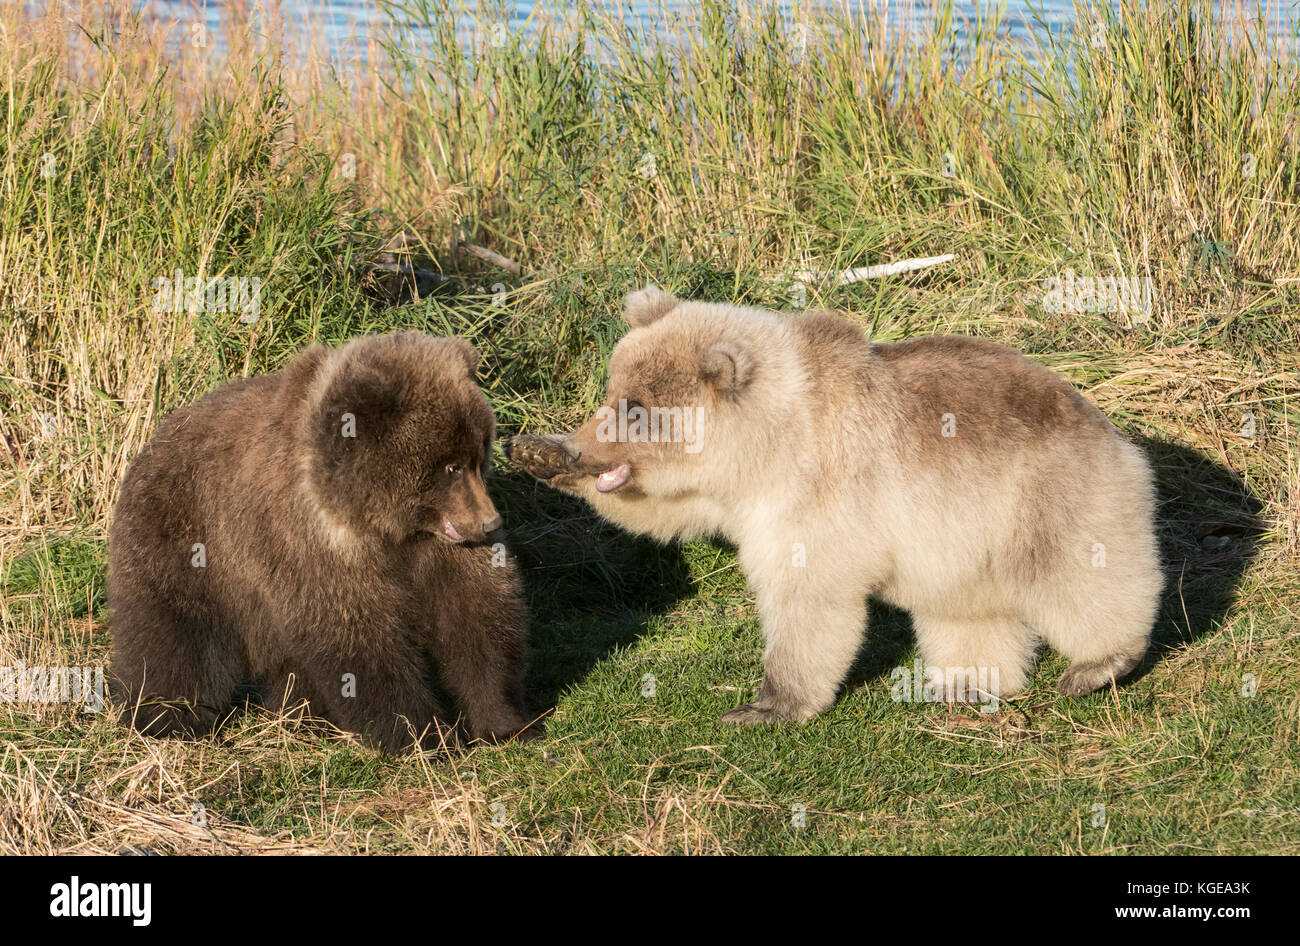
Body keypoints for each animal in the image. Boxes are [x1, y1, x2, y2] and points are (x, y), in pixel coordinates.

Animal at [109, 331, 536, 751]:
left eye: (480, 455)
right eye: (451, 466)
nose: (490, 523)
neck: (376, 520)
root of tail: (157, 435)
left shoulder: (437, 548)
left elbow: (475, 613)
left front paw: (505, 722)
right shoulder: (314, 544)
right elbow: (358, 634)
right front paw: (423, 733)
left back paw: (302, 716)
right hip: (183, 537)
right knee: (175, 635)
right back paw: (167, 717)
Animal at [507, 285, 1162, 724]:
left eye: (638, 409)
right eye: (613, 391)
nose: (588, 442)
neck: (769, 445)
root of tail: (1116, 434)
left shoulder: (818, 496)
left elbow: (807, 602)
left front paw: (765, 705)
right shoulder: (726, 495)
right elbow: (664, 511)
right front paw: (539, 451)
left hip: (1045, 497)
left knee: (1077, 577)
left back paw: (1099, 664)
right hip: (964, 540)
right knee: (967, 611)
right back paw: (965, 683)